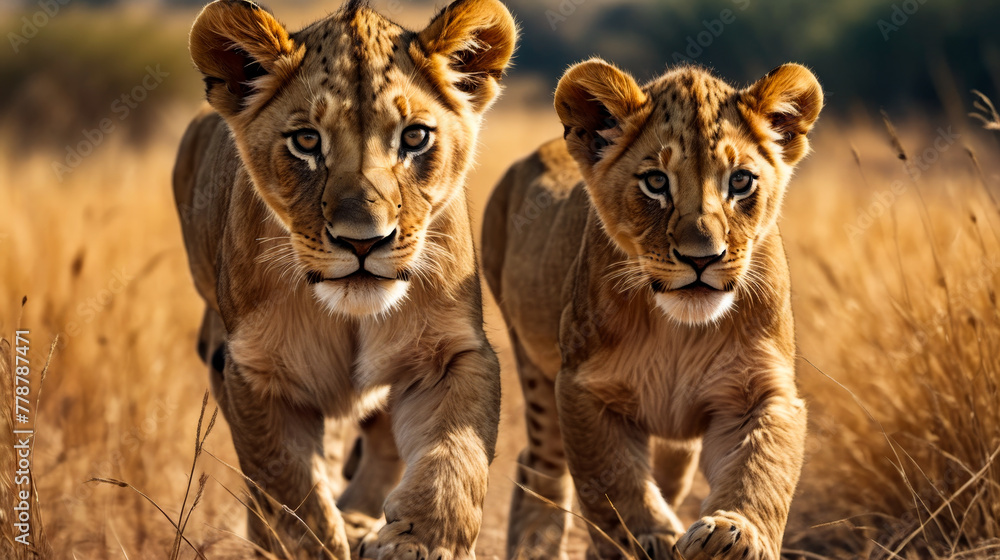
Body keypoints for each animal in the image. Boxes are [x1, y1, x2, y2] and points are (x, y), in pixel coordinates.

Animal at [171, 1, 516, 558]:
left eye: (415, 137)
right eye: (307, 141)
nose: (363, 241)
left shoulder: (452, 352)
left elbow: (455, 456)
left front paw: (421, 542)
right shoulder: (255, 369)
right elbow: (288, 491)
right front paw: (313, 542)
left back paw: (359, 519)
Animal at [481, 60, 822, 559]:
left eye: (740, 181)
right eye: (656, 182)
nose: (702, 258)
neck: (679, 329)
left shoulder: (758, 389)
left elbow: (762, 468)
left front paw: (734, 536)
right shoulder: (584, 388)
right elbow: (615, 484)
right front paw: (650, 538)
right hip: (532, 363)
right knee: (540, 463)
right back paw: (535, 546)